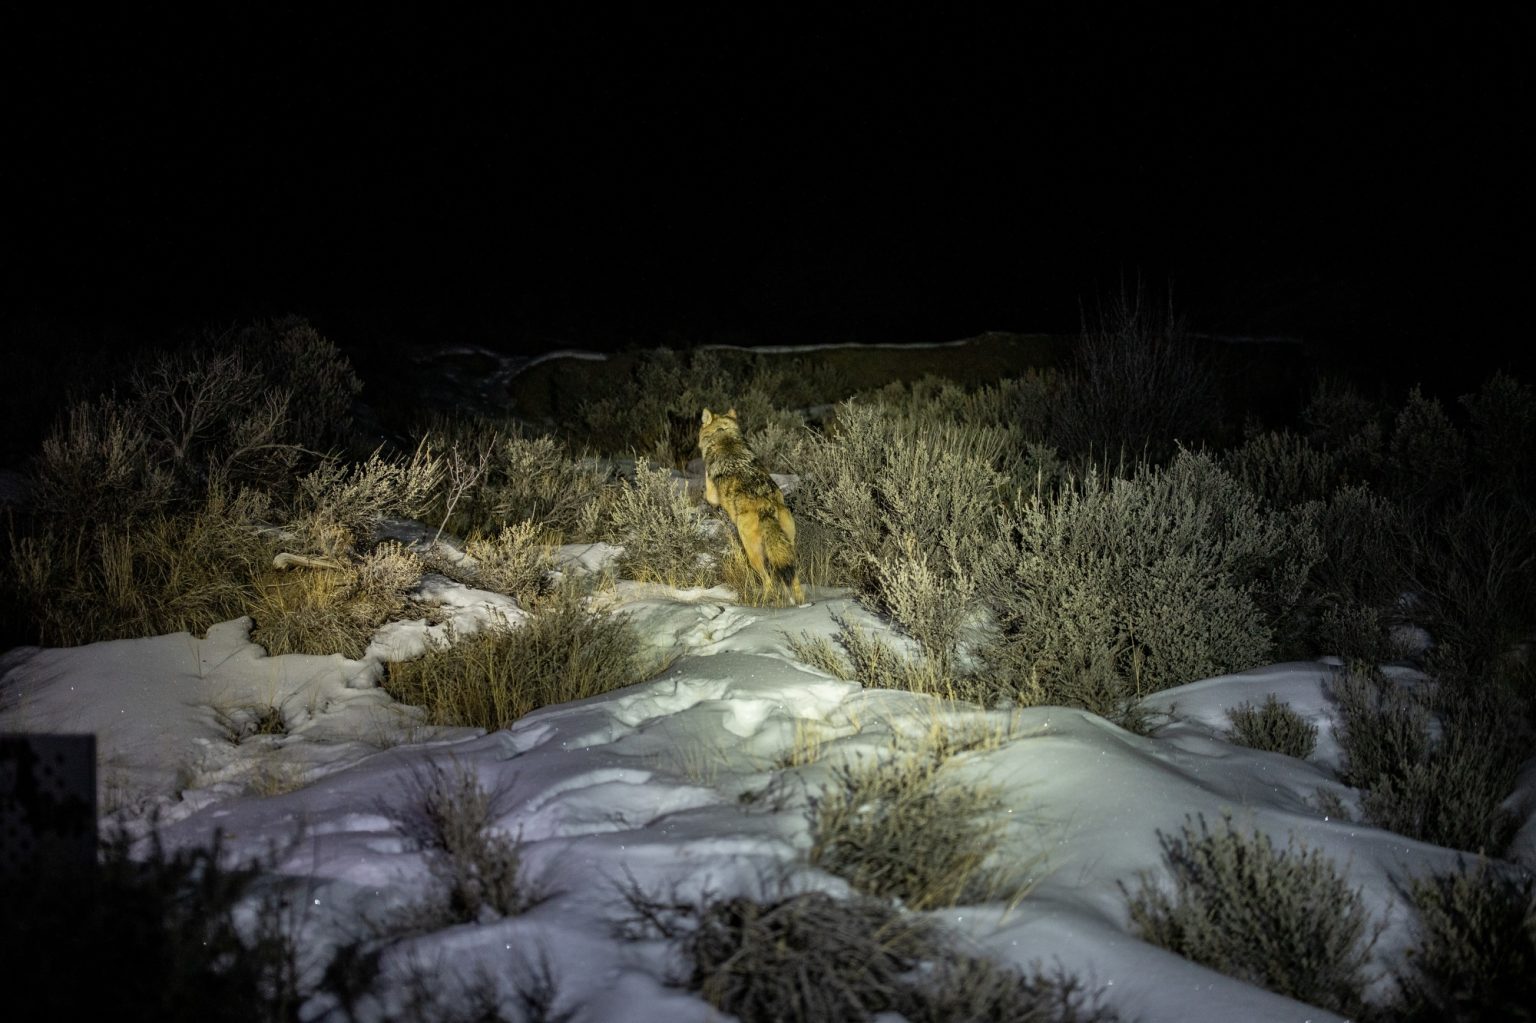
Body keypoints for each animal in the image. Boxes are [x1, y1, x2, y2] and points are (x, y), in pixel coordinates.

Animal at [699, 408, 805, 605]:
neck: (723, 434)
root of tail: (766, 505)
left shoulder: (711, 492)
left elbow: (708, 497)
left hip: (753, 554)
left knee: (768, 580)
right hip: (788, 548)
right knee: (792, 579)